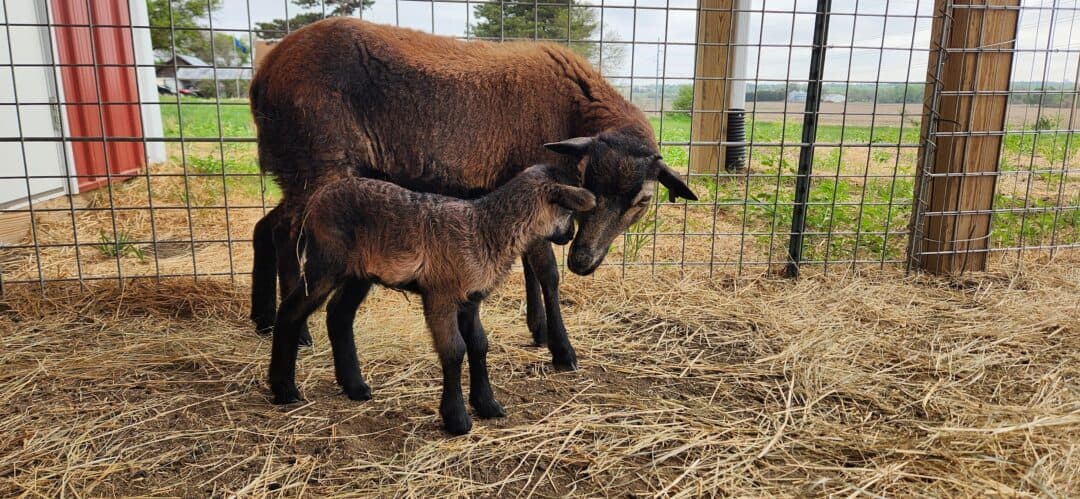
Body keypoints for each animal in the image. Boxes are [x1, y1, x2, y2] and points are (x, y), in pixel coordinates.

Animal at [249, 18, 698, 370]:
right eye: (586, 179)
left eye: (641, 201)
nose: (582, 261)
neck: (573, 110)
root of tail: (264, 71)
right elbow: (546, 274)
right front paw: (562, 349)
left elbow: (529, 265)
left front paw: (537, 329)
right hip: (318, 160)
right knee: (287, 233)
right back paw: (298, 330)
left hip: (296, 167)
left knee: (264, 226)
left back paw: (264, 318)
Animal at [268, 164, 597, 435]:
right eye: (569, 212)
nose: (568, 237)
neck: (486, 230)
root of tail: (316, 200)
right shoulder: (441, 295)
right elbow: (454, 350)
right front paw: (457, 420)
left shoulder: (470, 300)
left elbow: (479, 345)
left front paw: (488, 405)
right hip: (326, 260)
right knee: (291, 310)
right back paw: (284, 390)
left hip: (358, 272)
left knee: (338, 314)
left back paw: (356, 387)